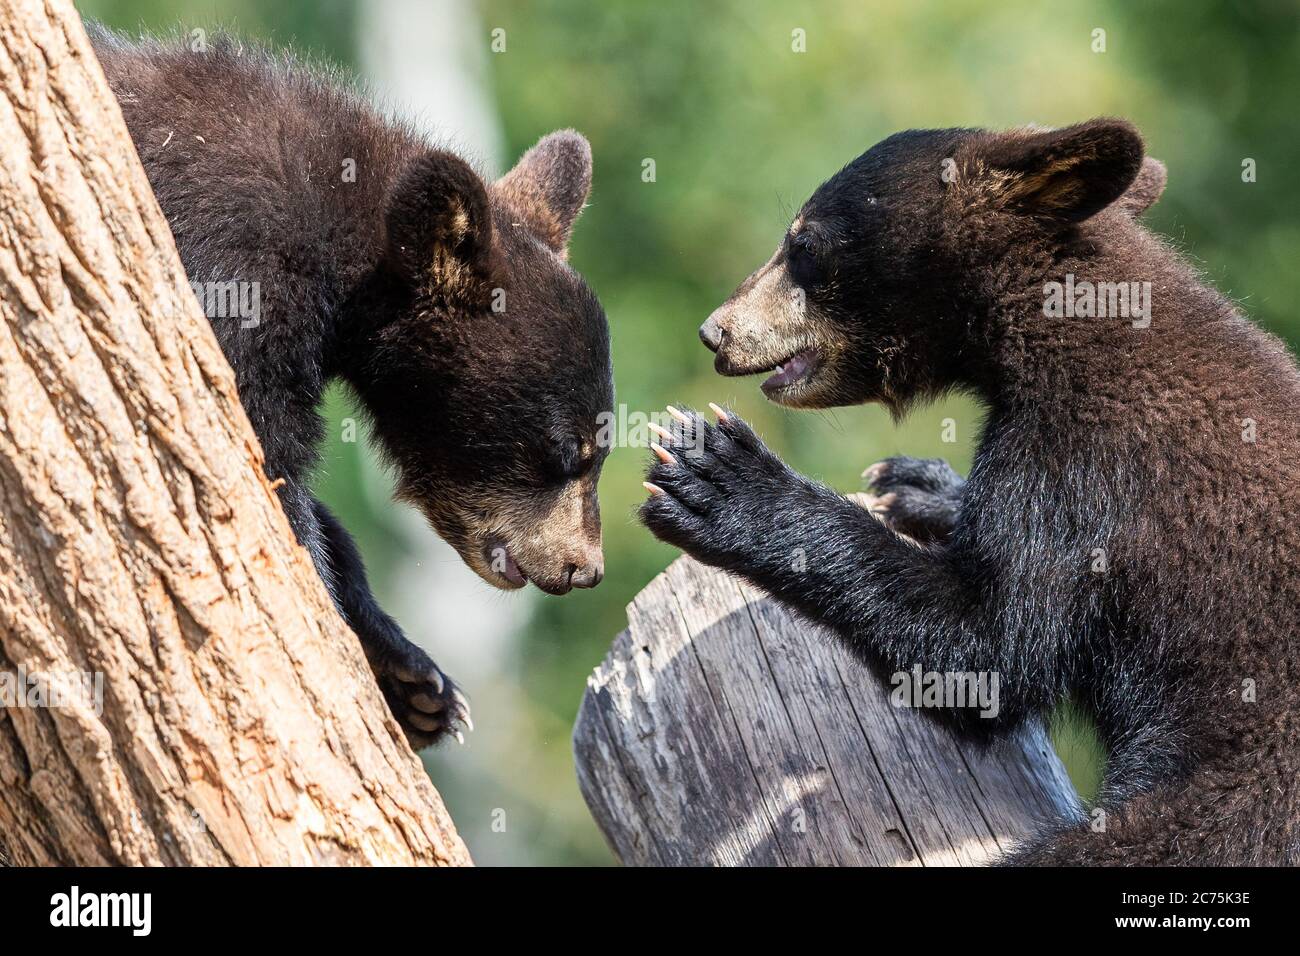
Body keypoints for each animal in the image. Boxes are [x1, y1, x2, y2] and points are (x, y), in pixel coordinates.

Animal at [90, 25, 613, 748]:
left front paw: (417, 679)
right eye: (565, 452)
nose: (584, 567)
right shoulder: (227, 272)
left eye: (601, 447)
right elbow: (263, 455)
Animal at [641, 119, 1299, 865]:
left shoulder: (1093, 466)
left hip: (1231, 799)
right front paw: (922, 487)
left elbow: (990, 643)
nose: (716, 331)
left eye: (803, 246)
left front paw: (720, 477)